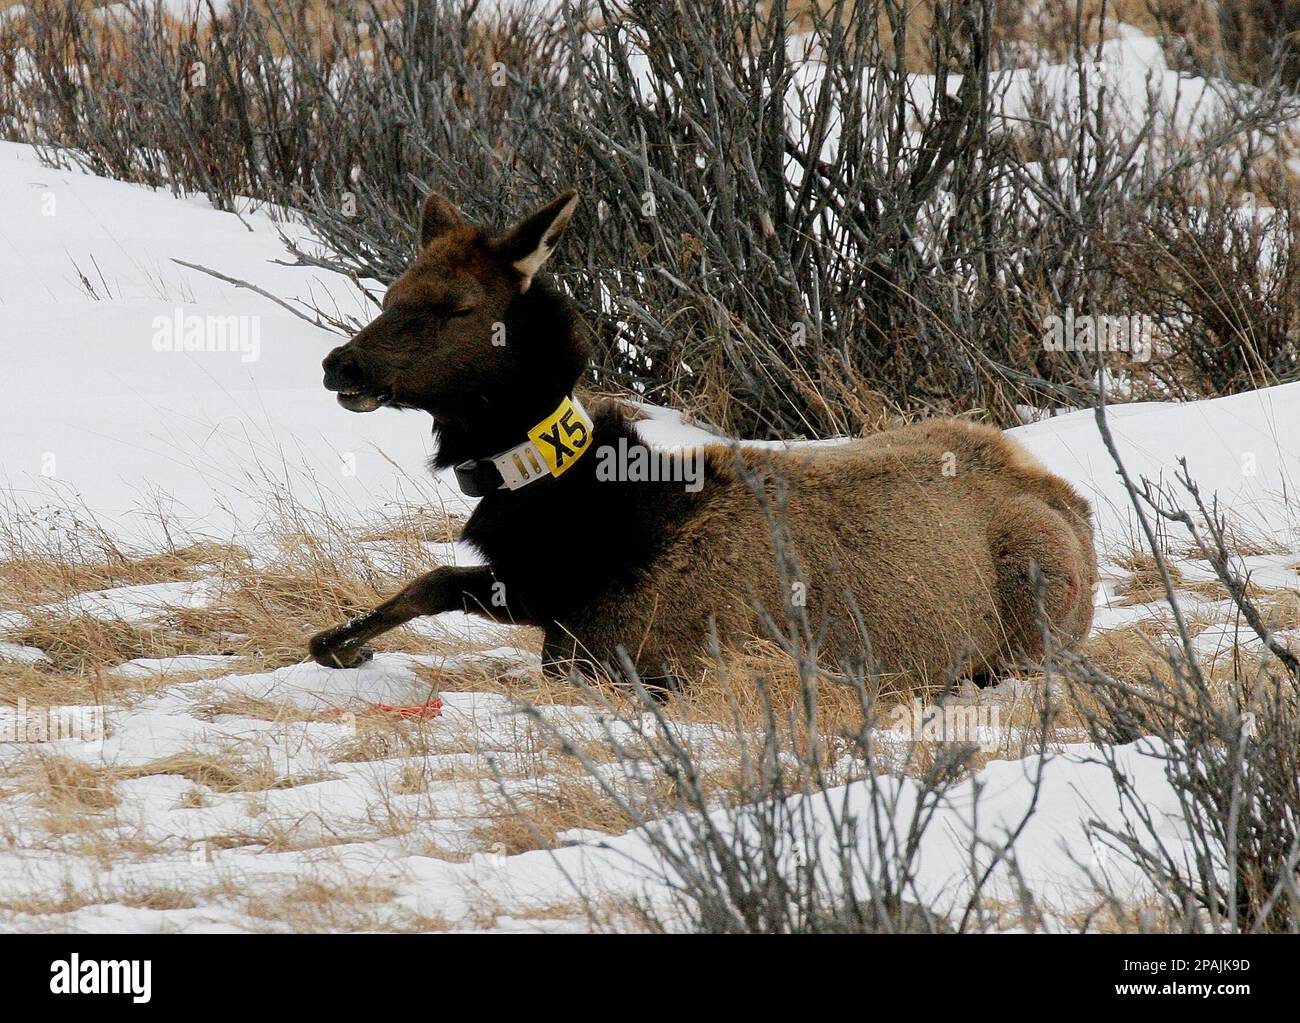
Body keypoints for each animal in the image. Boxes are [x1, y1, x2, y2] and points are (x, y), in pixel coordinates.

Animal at [308, 189, 1099, 692]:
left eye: (454, 306)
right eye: (391, 293)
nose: (338, 363)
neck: (593, 530)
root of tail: (1074, 505)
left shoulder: (651, 657)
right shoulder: (542, 601)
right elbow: (435, 579)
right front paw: (338, 643)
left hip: (1035, 622)